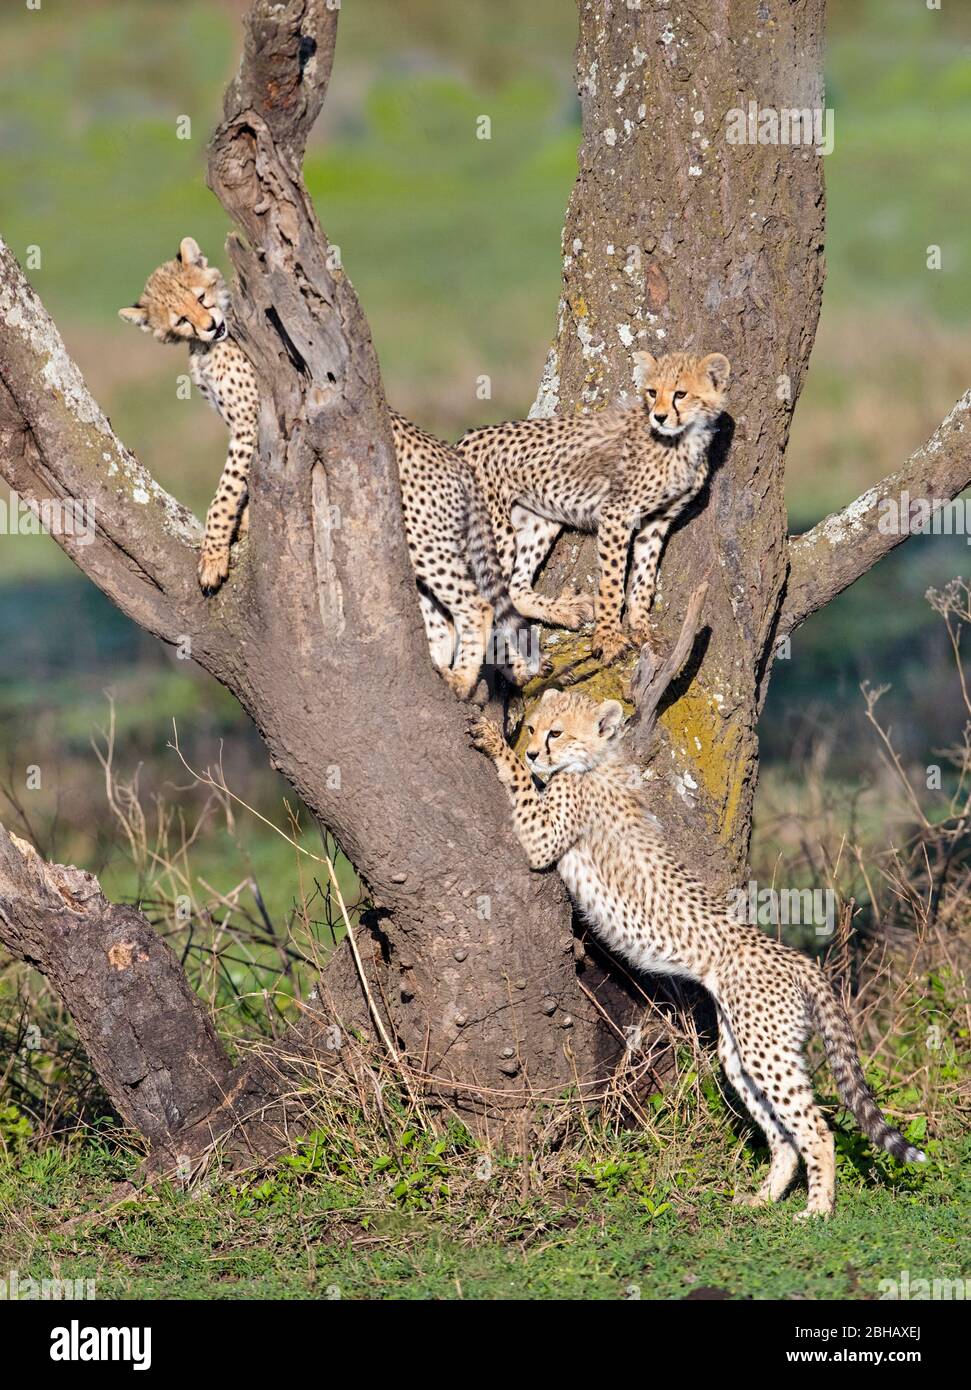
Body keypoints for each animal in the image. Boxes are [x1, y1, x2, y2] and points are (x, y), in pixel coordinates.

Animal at [119, 239, 534, 697]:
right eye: (180, 318)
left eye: (201, 297)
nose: (210, 326)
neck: (208, 347)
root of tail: (456, 459)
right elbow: (240, 491)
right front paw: (239, 531)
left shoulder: (248, 426)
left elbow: (224, 494)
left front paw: (212, 560)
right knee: (445, 616)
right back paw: (445, 671)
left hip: (425, 539)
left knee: (476, 604)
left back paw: (462, 678)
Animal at [457, 350, 730, 665]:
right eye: (652, 392)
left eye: (680, 394)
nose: (659, 416)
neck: (685, 439)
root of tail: (462, 441)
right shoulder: (617, 513)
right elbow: (612, 581)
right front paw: (609, 637)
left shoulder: (657, 520)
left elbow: (644, 578)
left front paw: (642, 628)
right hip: (496, 530)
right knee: (482, 601)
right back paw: (519, 664)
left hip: (541, 518)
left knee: (513, 589)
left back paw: (564, 612)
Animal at [471, 689, 926, 1217]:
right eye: (532, 727)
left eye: (556, 732)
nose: (531, 750)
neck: (598, 761)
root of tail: (794, 957)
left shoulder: (543, 837)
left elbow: (524, 789)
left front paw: (495, 744)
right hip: (742, 1052)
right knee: (782, 1135)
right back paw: (761, 1200)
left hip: (766, 1047)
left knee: (816, 1128)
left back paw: (817, 1209)